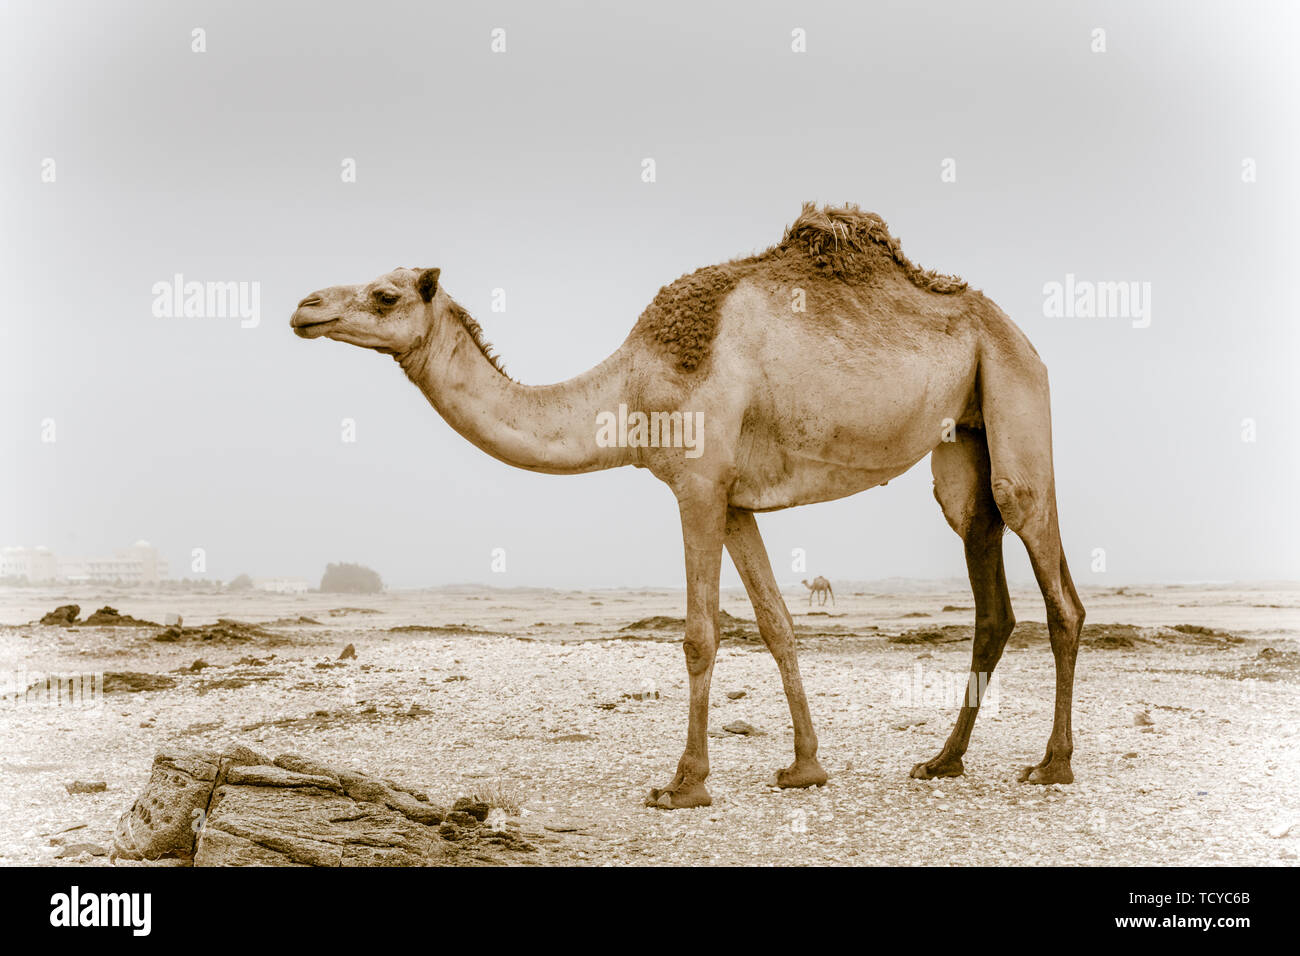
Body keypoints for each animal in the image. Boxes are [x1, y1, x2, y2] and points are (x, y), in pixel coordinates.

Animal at [291, 203, 1085, 809]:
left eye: (386, 295)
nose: (305, 307)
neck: (632, 388)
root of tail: (1021, 336)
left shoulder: (698, 484)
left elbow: (701, 634)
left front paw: (685, 784)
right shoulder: (734, 501)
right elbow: (777, 625)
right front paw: (805, 768)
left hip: (1013, 386)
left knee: (1051, 577)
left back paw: (1052, 764)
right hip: (964, 440)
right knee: (985, 573)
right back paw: (942, 760)